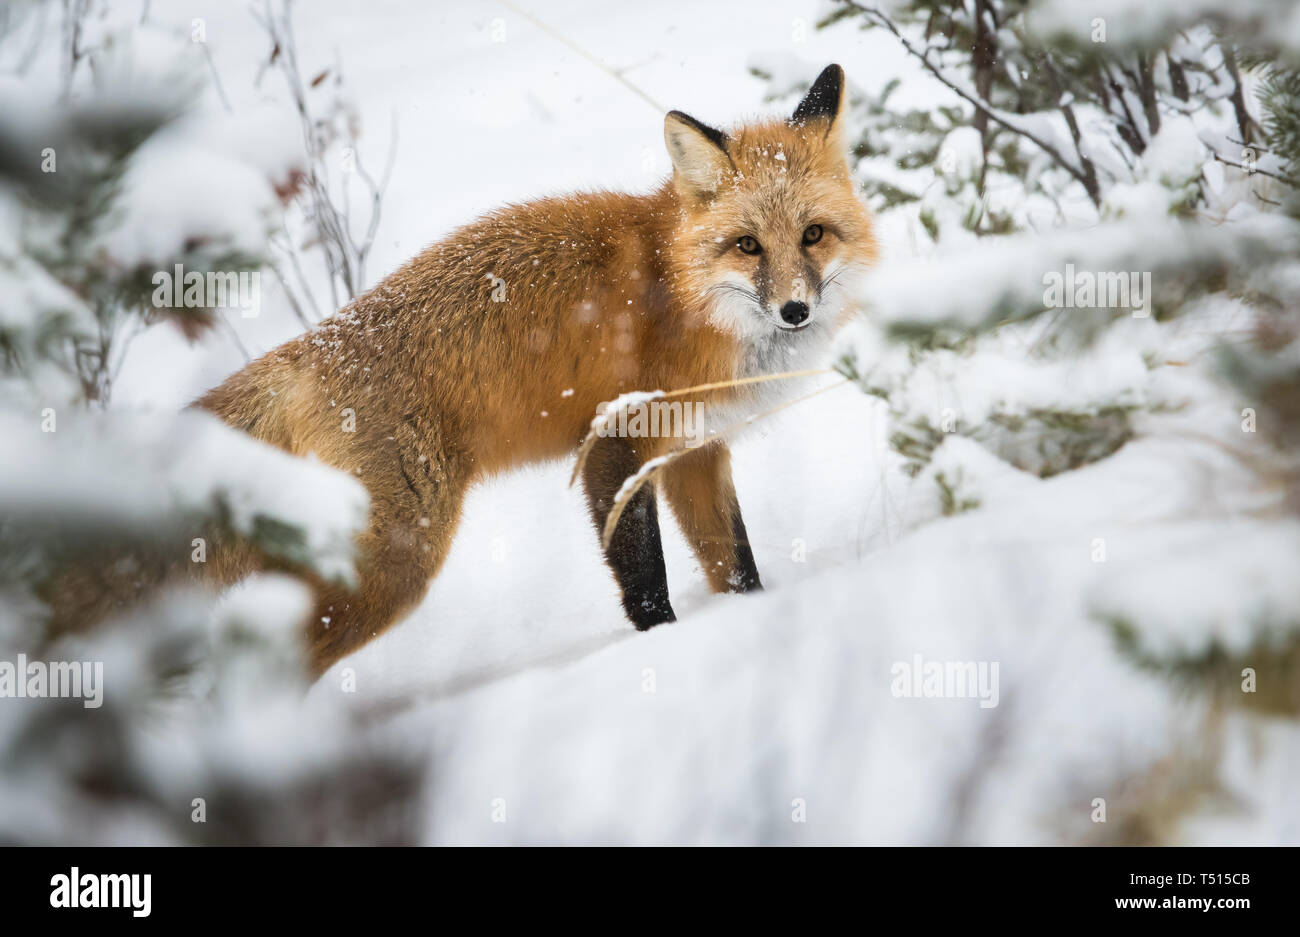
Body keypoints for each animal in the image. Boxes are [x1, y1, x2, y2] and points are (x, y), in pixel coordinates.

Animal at [50, 64, 878, 676]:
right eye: (747, 245)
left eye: (813, 234)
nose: (795, 311)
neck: (681, 293)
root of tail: (313, 344)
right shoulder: (612, 446)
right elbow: (646, 585)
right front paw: (662, 653)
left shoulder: (693, 453)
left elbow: (736, 565)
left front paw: (749, 620)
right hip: (399, 564)